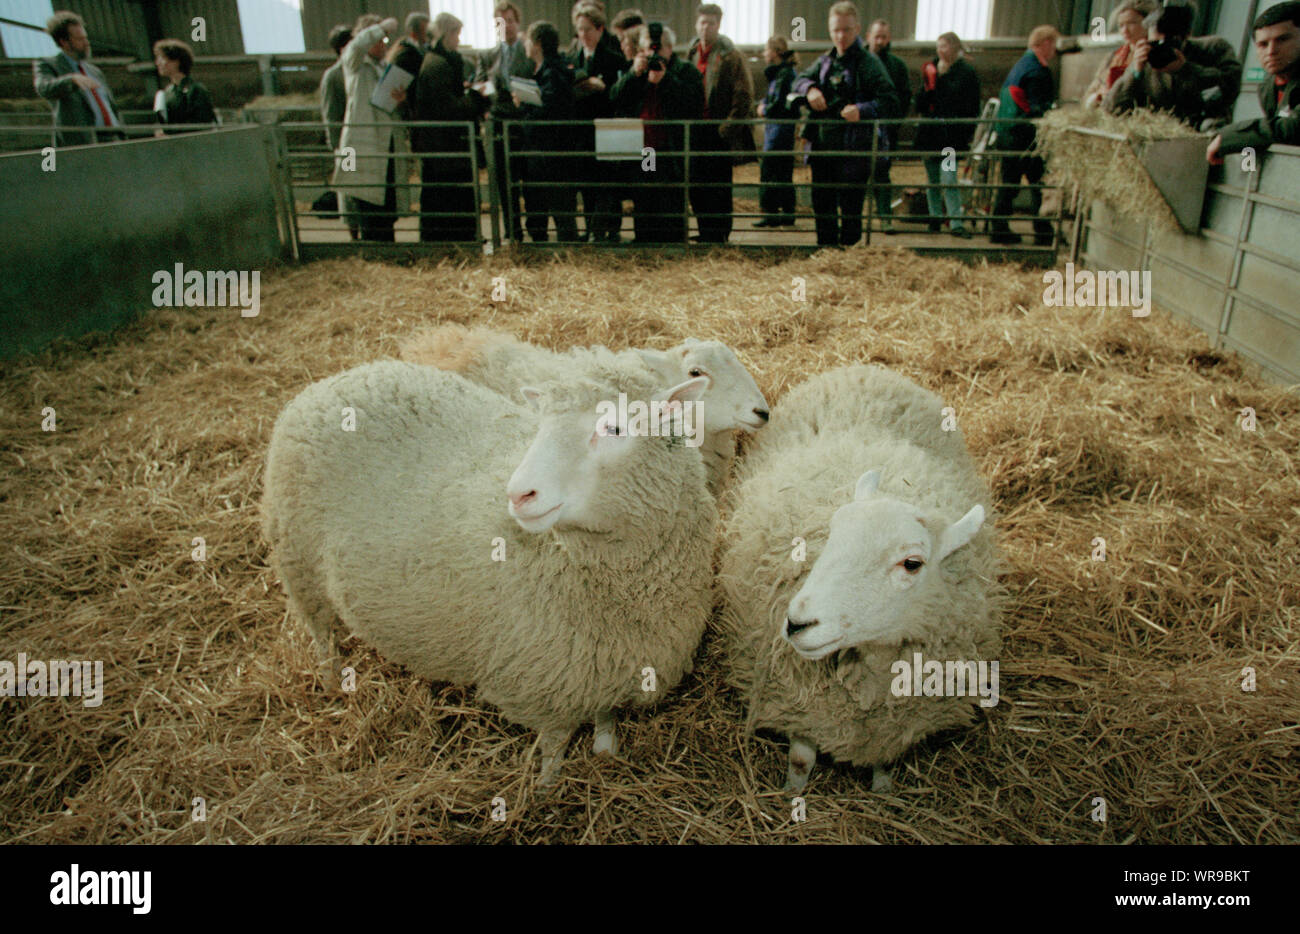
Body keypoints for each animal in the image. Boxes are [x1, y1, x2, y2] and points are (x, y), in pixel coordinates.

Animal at [261, 356, 717, 784]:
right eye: (541, 424)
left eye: (615, 428)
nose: (518, 494)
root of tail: (338, 378)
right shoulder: (546, 685)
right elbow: (555, 744)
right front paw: (546, 787)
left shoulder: (608, 665)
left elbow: (605, 716)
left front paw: (606, 751)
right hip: (298, 560)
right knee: (321, 631)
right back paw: (331, 680)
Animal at [716, 365, 1002, 794]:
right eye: (834, 531)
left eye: (912, 563)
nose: (796, 623)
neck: (874, 669)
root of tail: (865, 368)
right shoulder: (801, 704)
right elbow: (801, 759)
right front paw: (791, 795)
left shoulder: (898, 724)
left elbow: (885, 762)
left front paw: (883, 793)